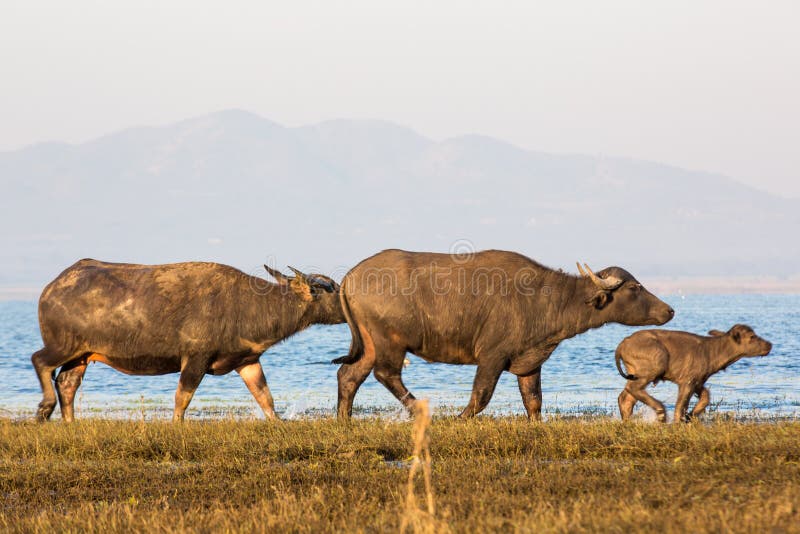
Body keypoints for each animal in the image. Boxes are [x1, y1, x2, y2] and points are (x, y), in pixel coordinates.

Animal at [32, 259, 343, 422]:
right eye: (330, 289)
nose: (348, 303)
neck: (249, 307)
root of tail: (50, 290)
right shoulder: (195, 359)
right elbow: (182, 398)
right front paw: (176, 425)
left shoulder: (247, 360)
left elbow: (265, 397)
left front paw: (278, 422)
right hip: (64, 346)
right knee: (40, 361)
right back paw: (44, 408)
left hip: (81, 356)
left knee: (67, 384)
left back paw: (71, 423)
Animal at [334, 249, 674, 419]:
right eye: (634, 287)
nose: (669, 310)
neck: (545, 298)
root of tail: (351, 277)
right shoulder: (492, 357)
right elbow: (481, 396)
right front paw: (459, 420)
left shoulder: (531, 360)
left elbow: (534, 401)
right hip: (390, 342)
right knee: (386, 375)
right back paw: (419, 410)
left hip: (368, 344)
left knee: (349, 376)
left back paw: (344, 420)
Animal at [615, 324, 772, 423]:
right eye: (752, 337)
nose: (769, 345)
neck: (712, 351)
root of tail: (622, 345)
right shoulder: (687, 381)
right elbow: (681, 405)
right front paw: (680, 420)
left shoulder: (698, 382)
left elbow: (706, 397)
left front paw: (691, 415)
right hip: (653, 368)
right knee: (633, 389)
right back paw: (661, 413)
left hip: (634, 373)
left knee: (626, 396)